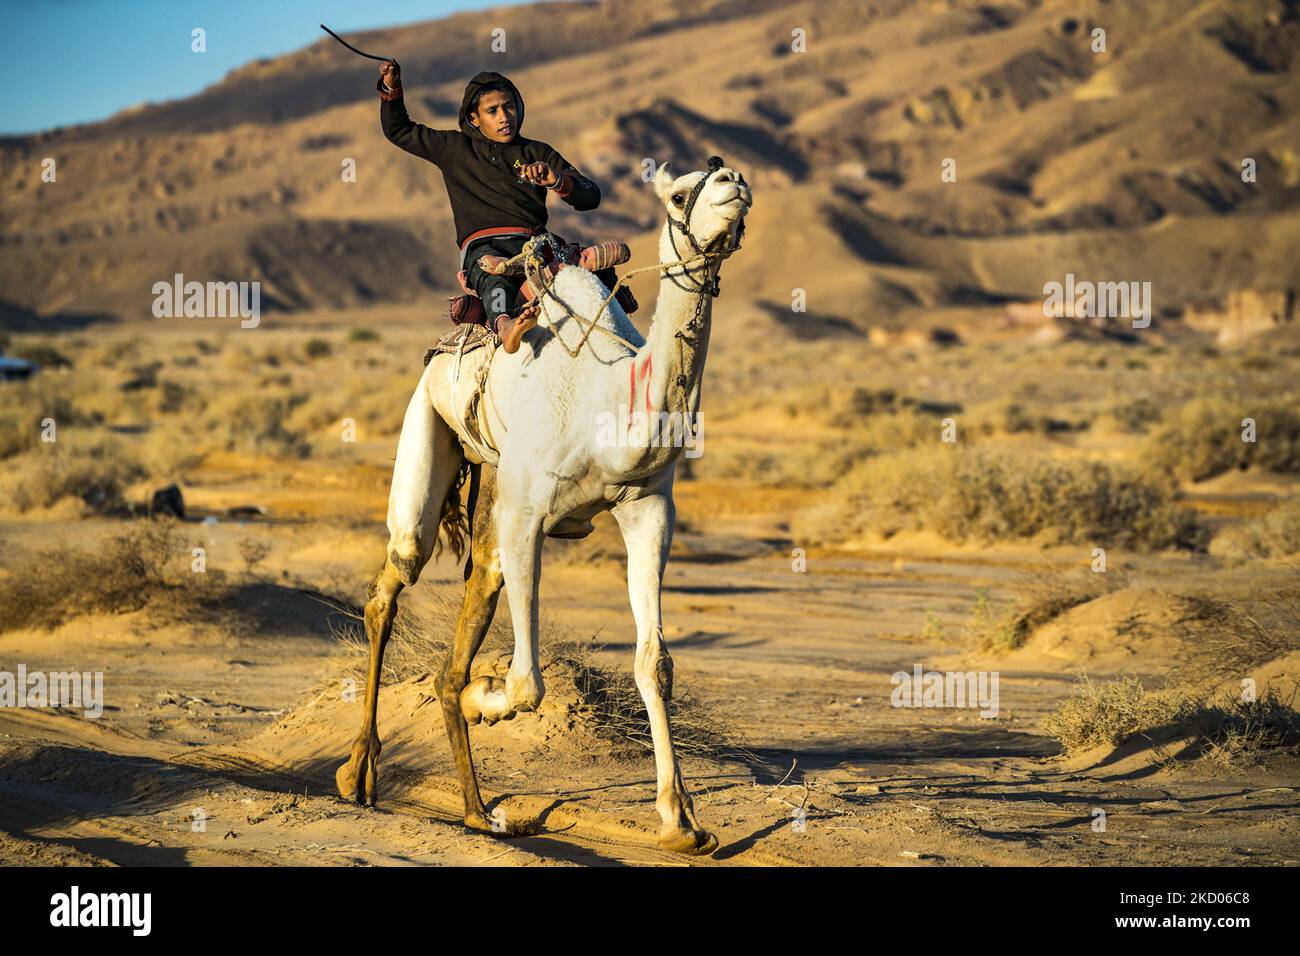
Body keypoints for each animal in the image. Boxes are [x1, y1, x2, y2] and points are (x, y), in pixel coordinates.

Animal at [335, 157, 752, 855]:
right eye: (677, 193)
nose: (733, 179)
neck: (608, 397)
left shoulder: (648, 508)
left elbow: (655, 663)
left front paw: (681, 824)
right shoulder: (529, 510)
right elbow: (528, 683)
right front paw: (485, 696)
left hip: (493, 495)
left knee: (472, 597)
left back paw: (478, 811)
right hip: (429, 428)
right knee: (393, 579)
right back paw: (358, 773)